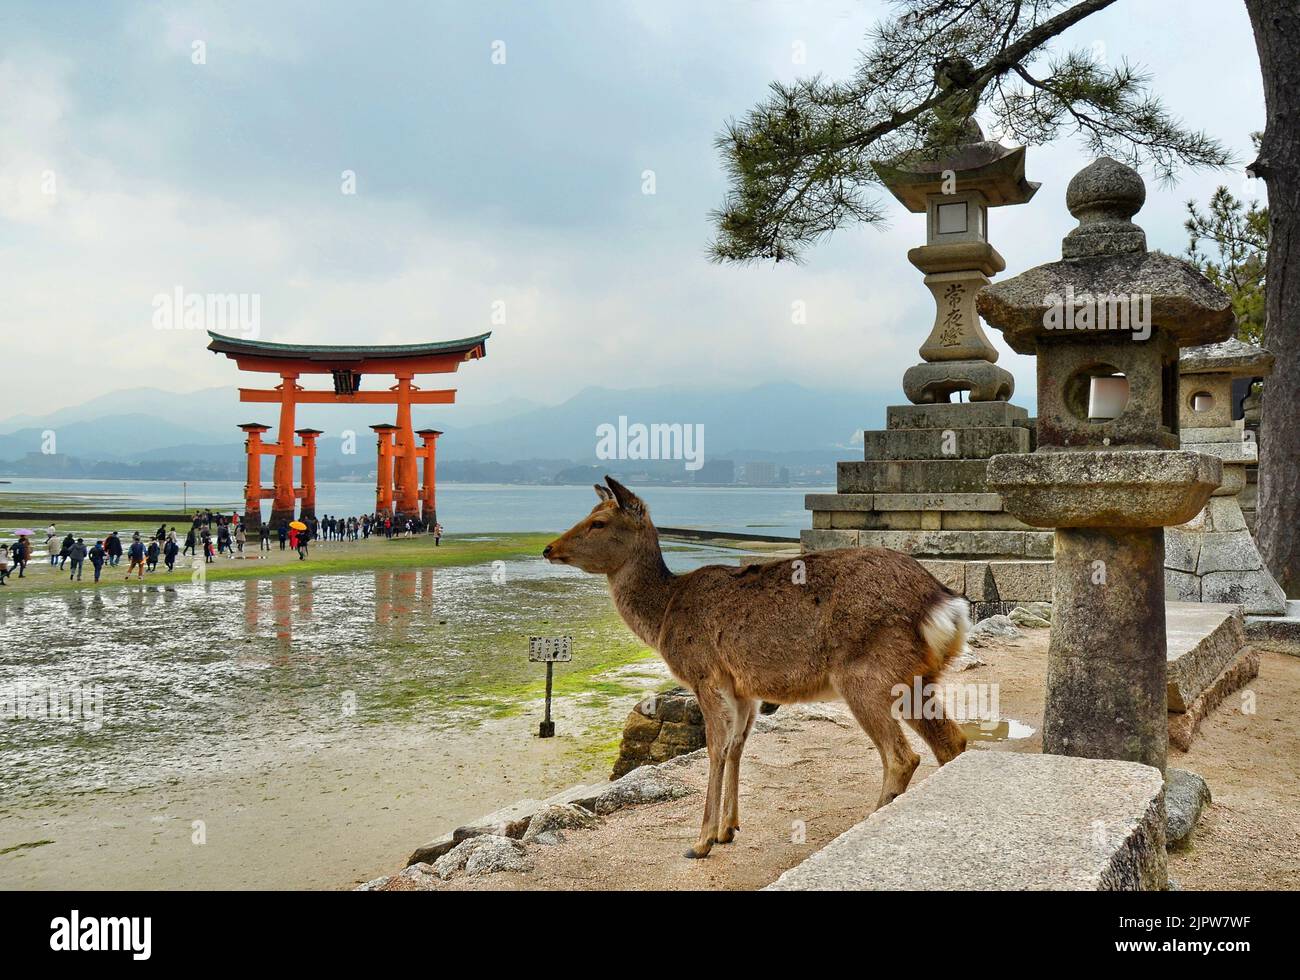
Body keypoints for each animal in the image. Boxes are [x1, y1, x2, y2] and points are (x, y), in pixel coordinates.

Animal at [544, 476, 970, 859]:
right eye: (589, 513)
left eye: (599, 522)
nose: (548, 548)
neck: (664, 617)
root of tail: (945, 604)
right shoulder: (743, 688)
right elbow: (737, 746)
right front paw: (727, 830)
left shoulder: (705, 675)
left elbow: (716, 748)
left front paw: (700, 841)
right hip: (918, 677)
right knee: (954, 741)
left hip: (865, 674)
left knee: (902, 756)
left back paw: (868, 821)